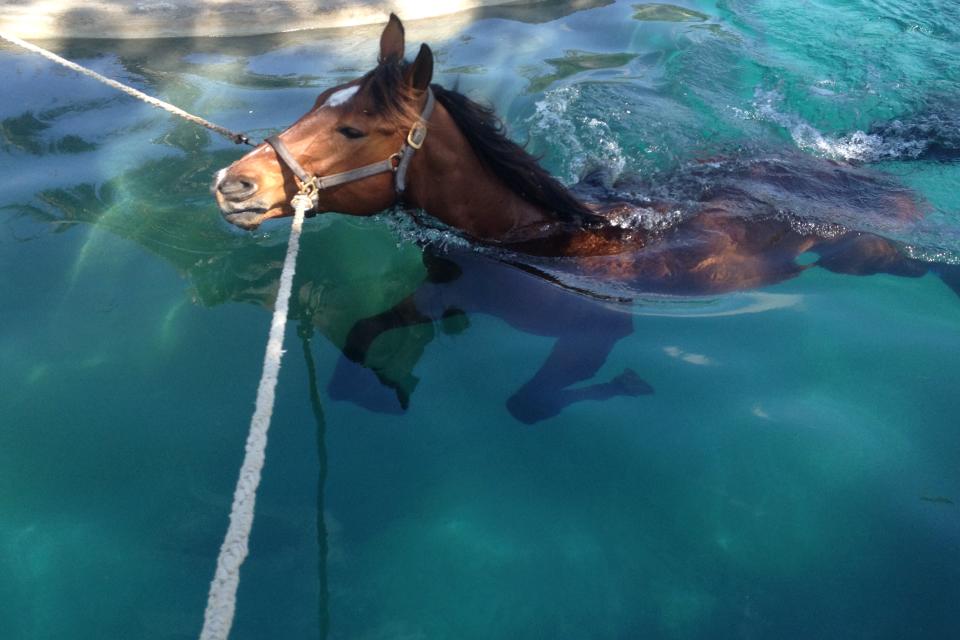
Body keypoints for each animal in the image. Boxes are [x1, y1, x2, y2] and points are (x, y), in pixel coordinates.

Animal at [214, 14, 959, 423]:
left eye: (353, 129)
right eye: (318, 100)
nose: (233, 184)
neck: (543, 240)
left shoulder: (593, 335)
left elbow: (531, 404)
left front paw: (628, 385)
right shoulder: (447, 293)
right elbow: (359, 341)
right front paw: (383, 385)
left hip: (862, 255)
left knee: (914, 262)